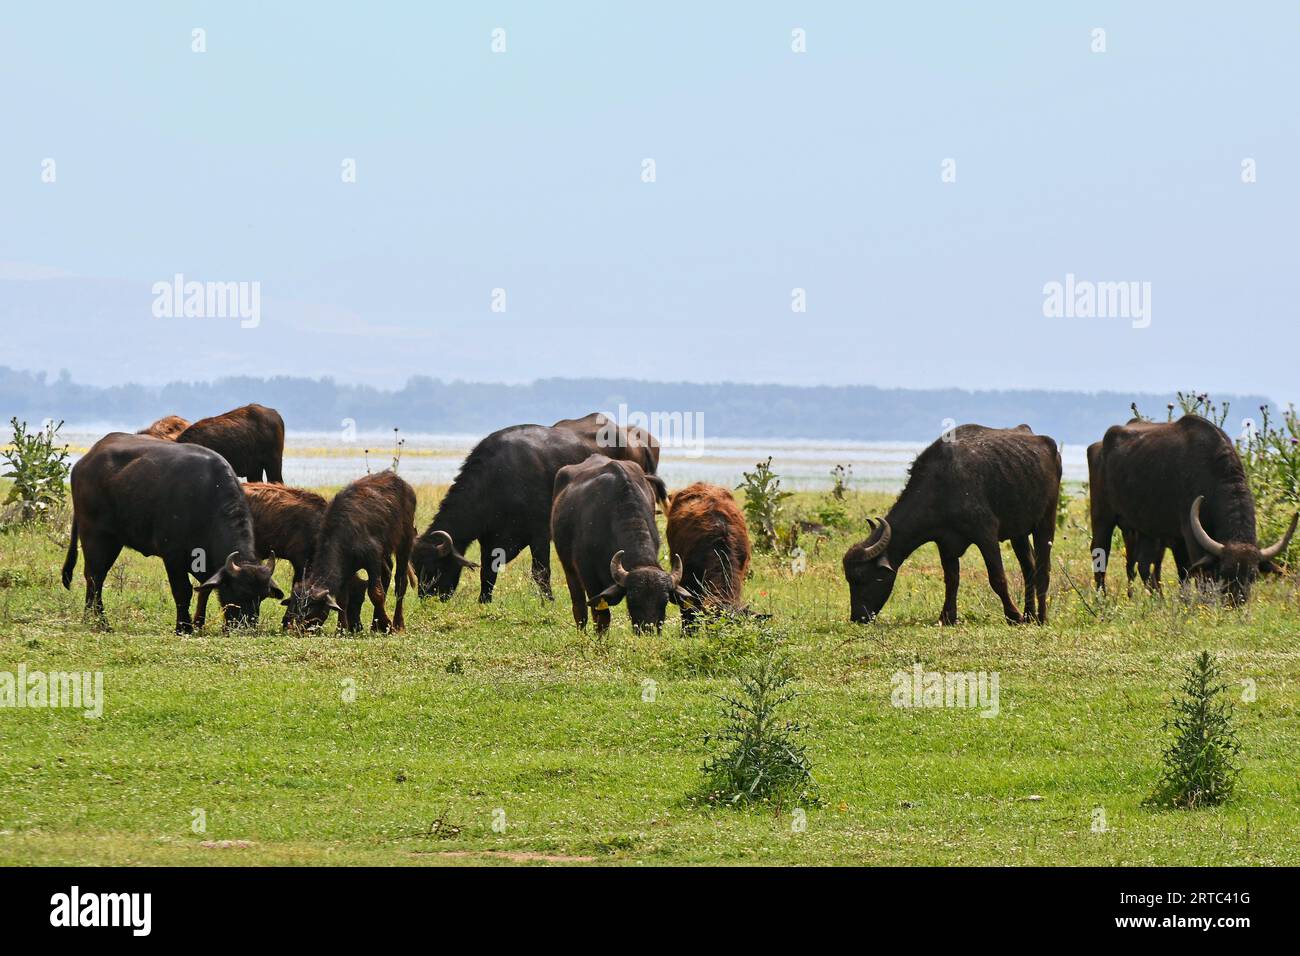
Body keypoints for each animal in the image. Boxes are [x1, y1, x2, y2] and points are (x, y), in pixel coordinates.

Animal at [61, 434, 282, 633]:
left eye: (262, 596)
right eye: (238, 592)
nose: (246, 627)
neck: (206, 500)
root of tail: (84, 461)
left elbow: (204, 591)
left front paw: (198, 624)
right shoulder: (173, 556)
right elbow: (182, 590)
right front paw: (183, 627)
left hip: (114, 540)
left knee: (95, 576)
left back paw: (88, 618)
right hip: (95, 534)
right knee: (95, 575)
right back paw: (100, 622)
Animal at [285, 471, 416, 633]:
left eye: (310, 610)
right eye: (294, 608)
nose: (299, 630)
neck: (343, 537)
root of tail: (403, 484)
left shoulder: (373, 558)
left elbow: (375, 593)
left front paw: (387, 624)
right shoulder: (345, 569)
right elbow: (343, 599)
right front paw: (341, 628)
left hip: (405, 541)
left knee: (400, 582)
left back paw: (398, 624)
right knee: (387, 573)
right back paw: (375, 625)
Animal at [552, 455, 687, 633]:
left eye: (664, 600)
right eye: (632, 599)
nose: (648, 631)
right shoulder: (588, 575)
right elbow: (601, 616)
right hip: (568, 567)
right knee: (579, 605)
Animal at [843, 424, 1061, 625]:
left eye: (862, 578)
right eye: (849, 579)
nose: (858, 617)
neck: (940, 487)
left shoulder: (986, 534)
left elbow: (997, 578)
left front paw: (1013, 616)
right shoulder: (945, 543)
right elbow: (951, 579)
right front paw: (947, 617)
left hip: (1045, 521)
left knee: (1043, 568)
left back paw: (1041, 617)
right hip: (1019, 533)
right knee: (1029, 567)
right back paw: (1030, 614)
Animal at [1089, 415, 1297, 604]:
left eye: (1252, 576)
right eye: (1224, 572)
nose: (1236, 603)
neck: (1213, 477)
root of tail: (1099, 446)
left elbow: (1183, 575)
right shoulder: (1189, 535)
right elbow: (1194, 575)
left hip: (1146, 530)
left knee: (1145, 565)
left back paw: (1158, 601)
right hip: (1102, 518)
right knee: (1101, 552)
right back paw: (1101, 599)